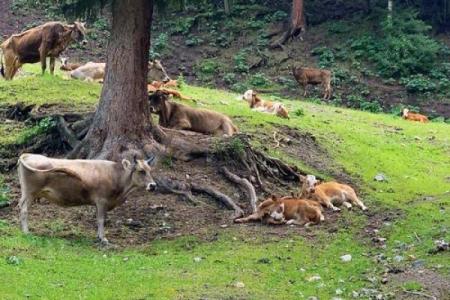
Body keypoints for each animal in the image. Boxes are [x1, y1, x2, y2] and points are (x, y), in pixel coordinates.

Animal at [17, 152, 157, 244]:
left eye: (150, 170)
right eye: (141, 171)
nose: (153, 185)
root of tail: (29, 155)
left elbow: (98, 219)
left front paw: (99, 236)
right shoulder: (102, 201)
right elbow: (101, 220)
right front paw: (103, 239)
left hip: (27, 193)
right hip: (30, 193)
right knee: (24, 210)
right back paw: (26, 231)